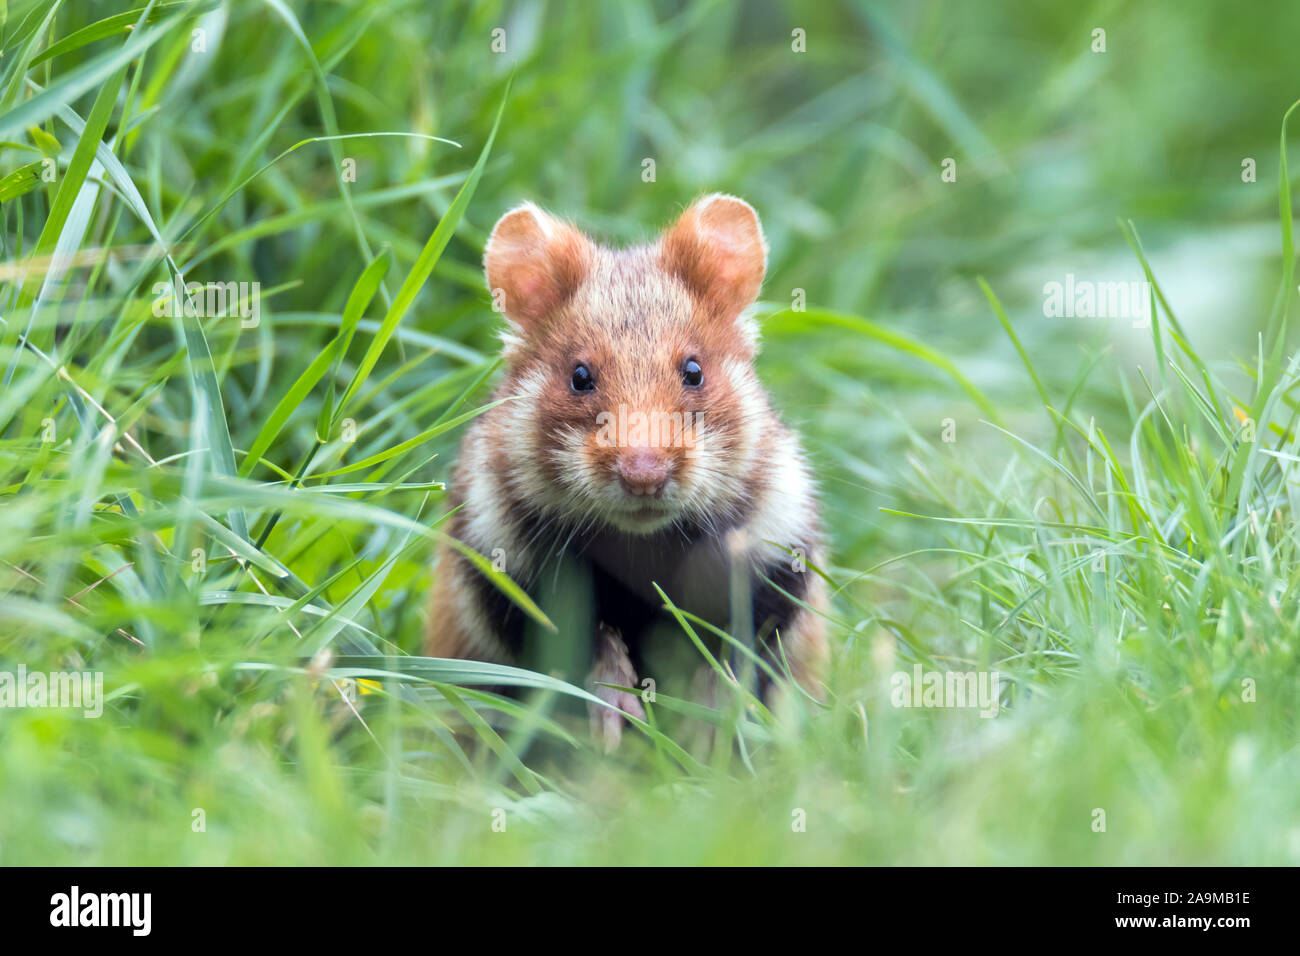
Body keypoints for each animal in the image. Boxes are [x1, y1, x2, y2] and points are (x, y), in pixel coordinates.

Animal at [425, 194, 828, 749]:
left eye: (694, 370)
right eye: (579, 376)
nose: (644, 475)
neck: (643, 544)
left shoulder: (777, 559)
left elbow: (737, 654)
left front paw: (704, 733)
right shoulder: (503, 568)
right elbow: (581, 647)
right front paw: (617, 725)